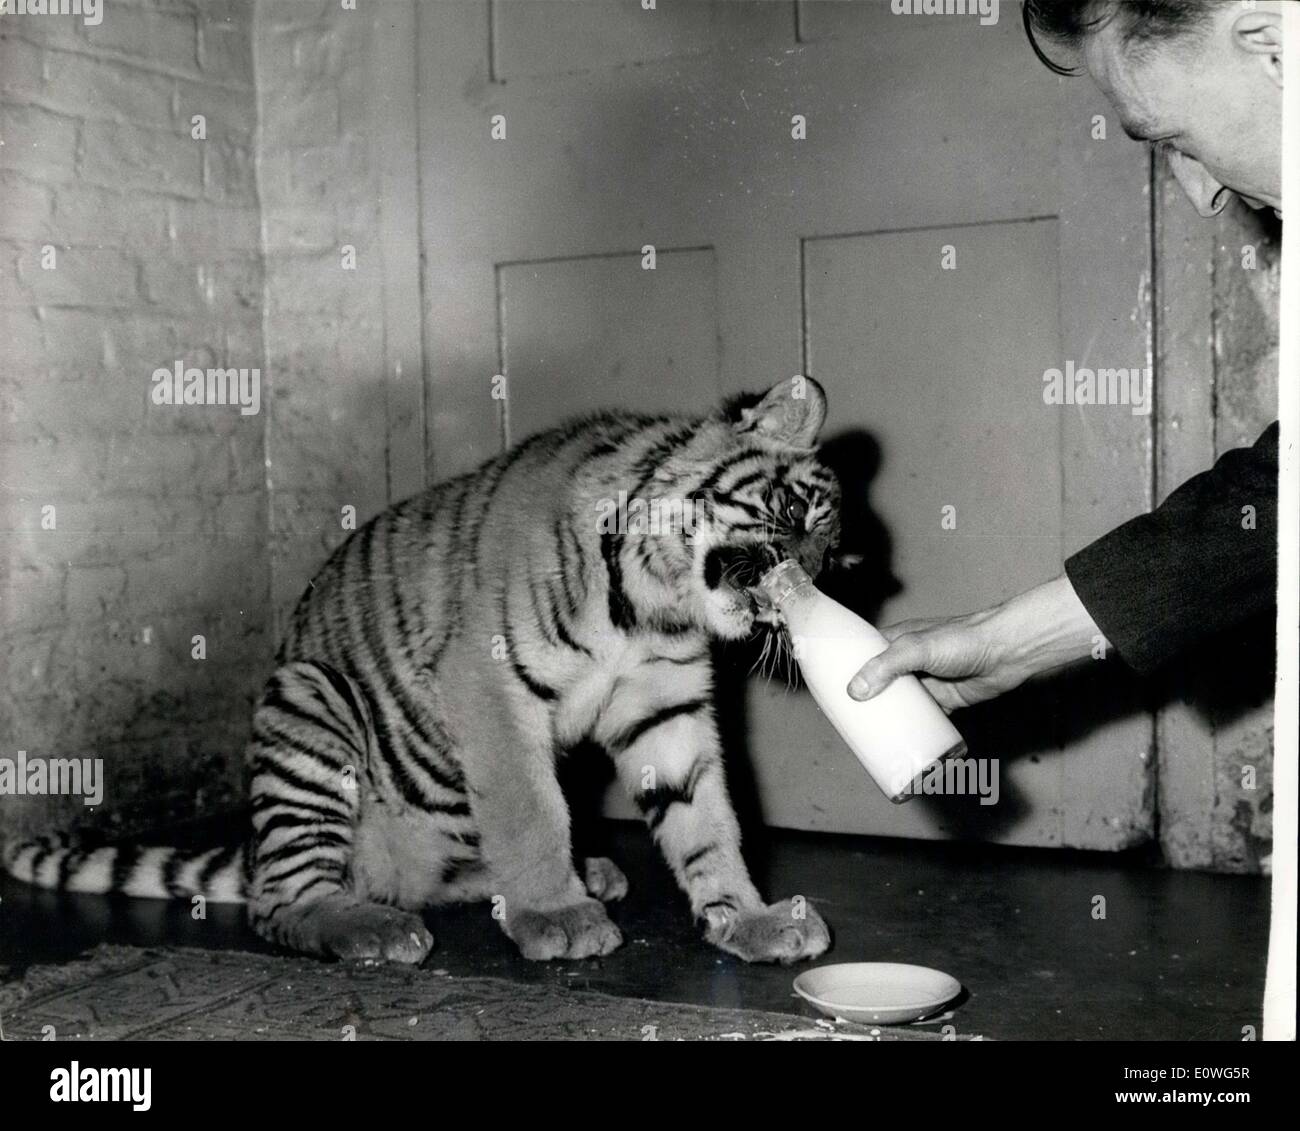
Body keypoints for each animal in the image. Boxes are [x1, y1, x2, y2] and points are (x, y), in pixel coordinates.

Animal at [4, 377, 840, 965]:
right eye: (795, 515)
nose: (809, 587)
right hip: (310, 705)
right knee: (282, 902)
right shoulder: (488, 684)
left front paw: (750, 918)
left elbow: (707, 820)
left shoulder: (666, 707)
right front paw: (556, 916)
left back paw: (570, 876)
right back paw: (370, 926)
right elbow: (531, 811)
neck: (652, 602)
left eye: (832, 551)